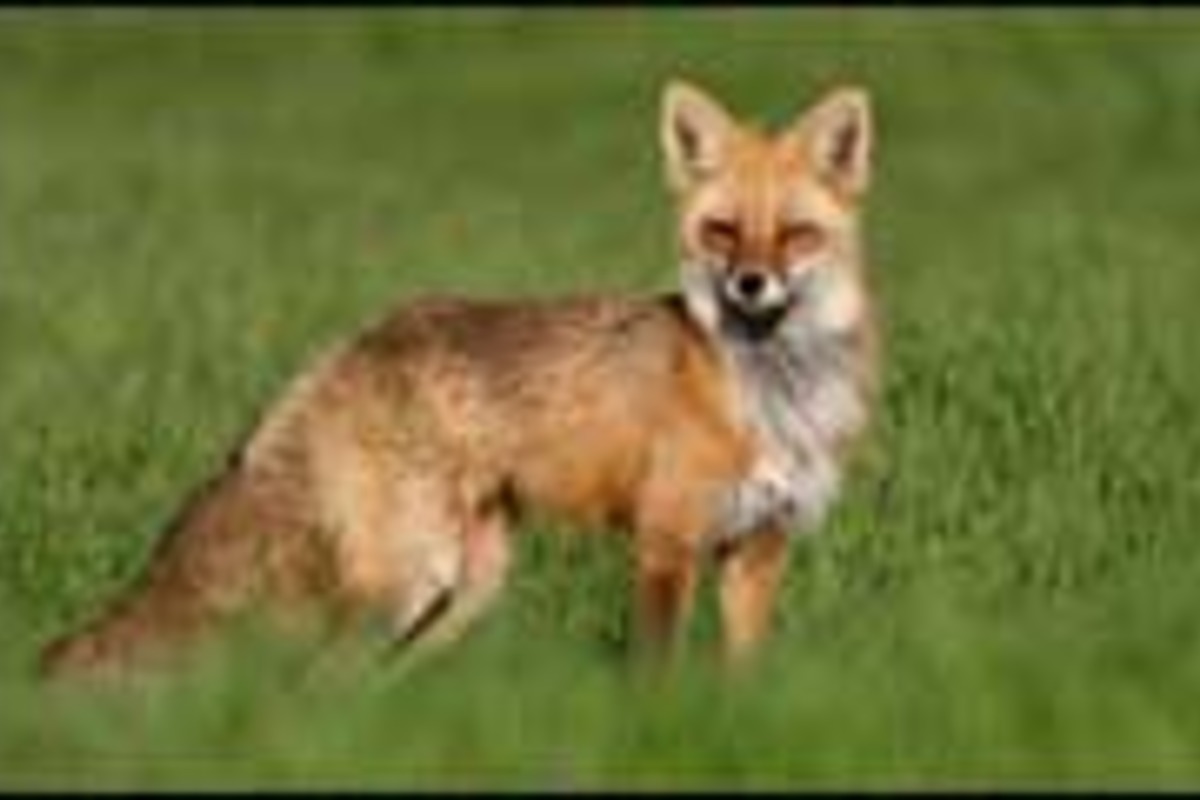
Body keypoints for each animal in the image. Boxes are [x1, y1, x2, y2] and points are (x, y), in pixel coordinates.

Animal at [39, 78, 880, 679]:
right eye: (722, 231)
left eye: (796, 235)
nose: (749, 285)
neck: (773, 395)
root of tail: (354, 340)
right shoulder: (666, 542)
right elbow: (657, 676)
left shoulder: (759, 551)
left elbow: (741, 682)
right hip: (409, 579)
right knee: (319, 681)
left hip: (466, 590)